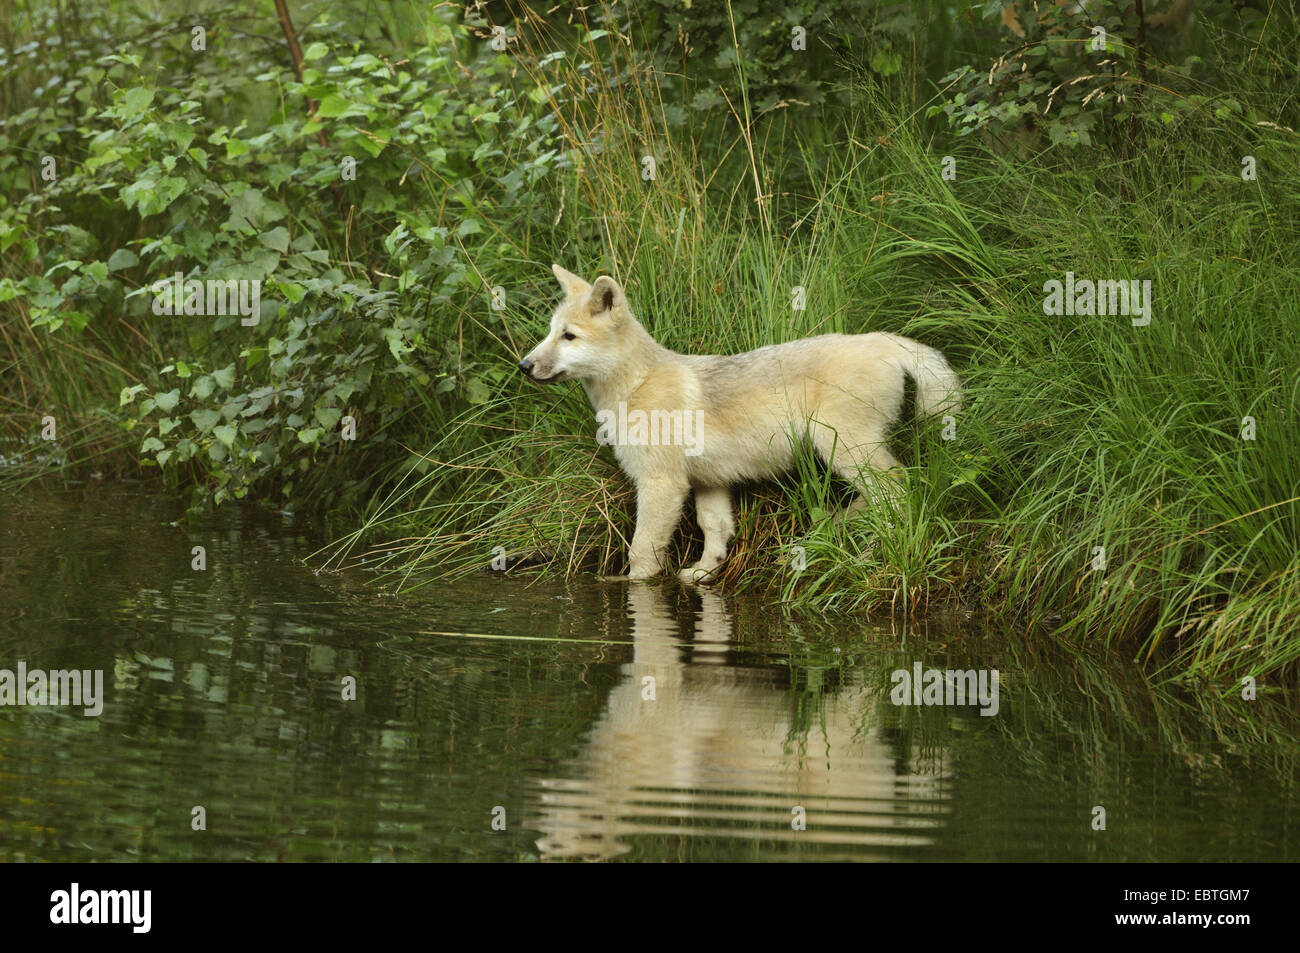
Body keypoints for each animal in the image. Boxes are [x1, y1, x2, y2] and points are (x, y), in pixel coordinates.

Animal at [519, 264, 962, 583]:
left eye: (569, 336)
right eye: (550, 333)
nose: (523, 366)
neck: (637, 384)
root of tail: (879, 339)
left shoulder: (661, 483)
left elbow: (642, 551)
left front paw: (633, 588)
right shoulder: (708, 483)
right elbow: (716, 531)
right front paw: (703, 572)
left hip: (847, 452)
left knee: (897, 493)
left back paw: (868, 553)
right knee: (881, 495)